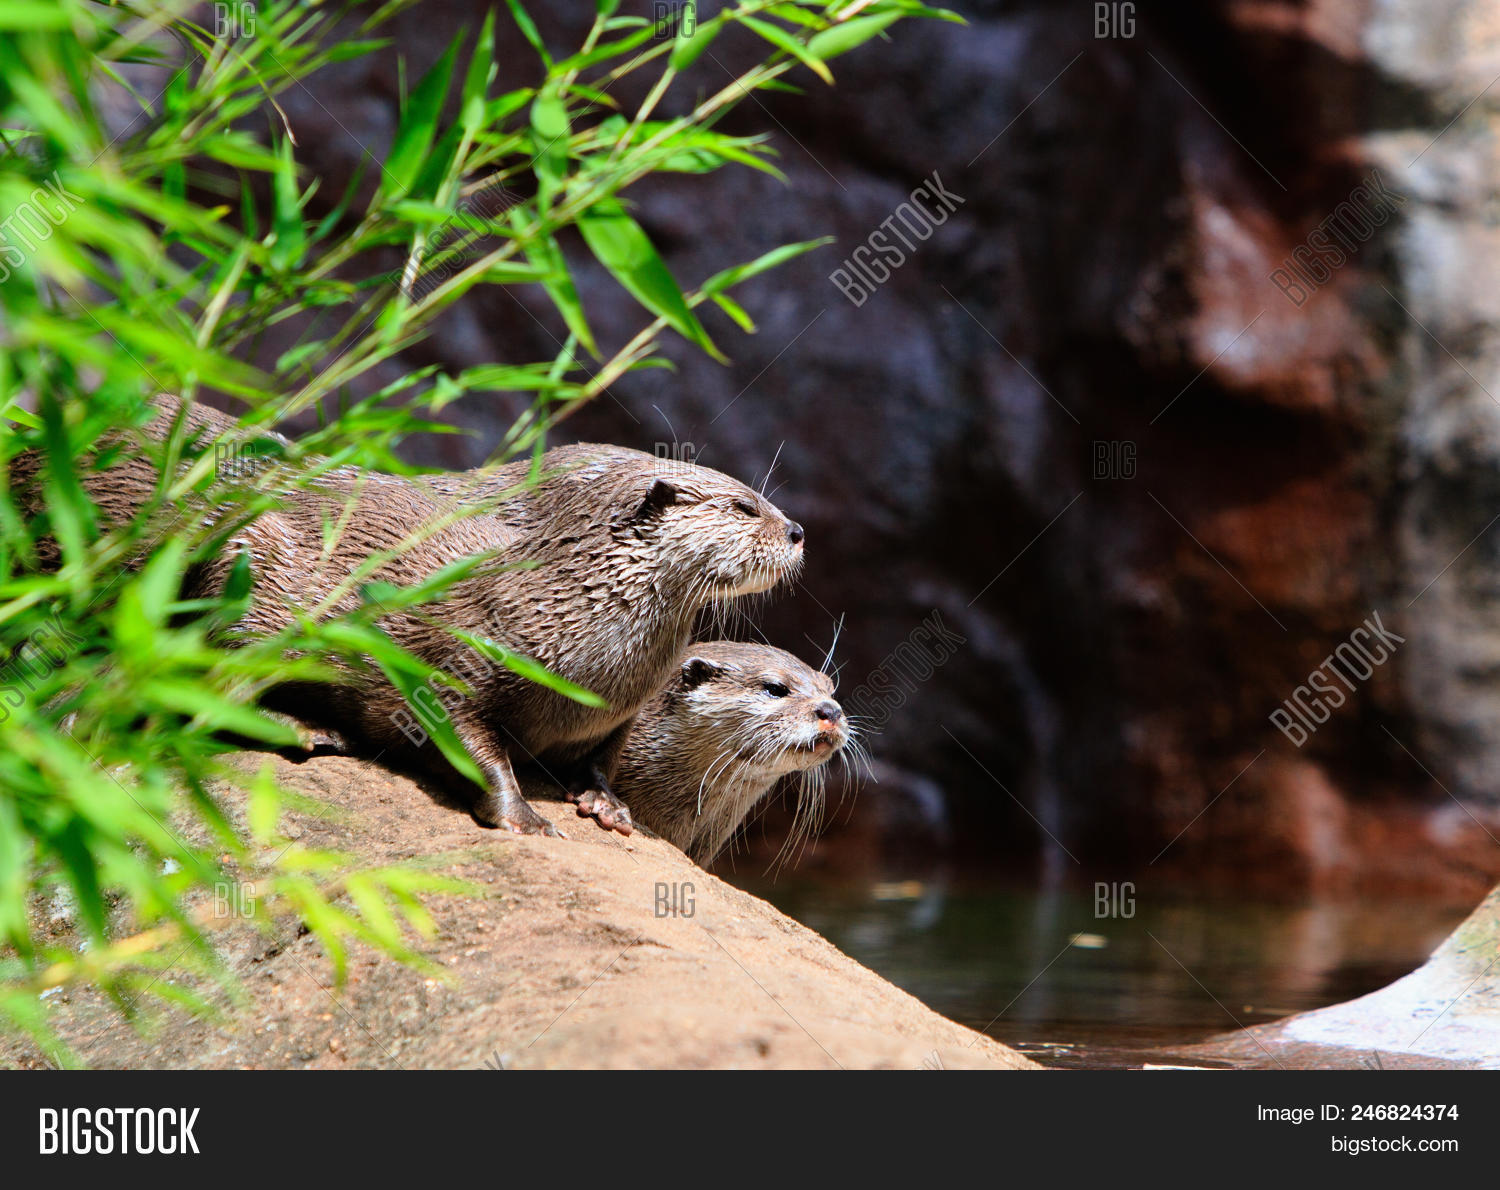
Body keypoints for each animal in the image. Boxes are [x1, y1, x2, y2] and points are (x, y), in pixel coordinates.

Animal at [17, 399, 806, 837]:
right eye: (746, 506)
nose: (799, 530)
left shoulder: (616, 715)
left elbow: (598, 763)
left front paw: (609, 808)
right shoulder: (455, 660)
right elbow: (467, 739)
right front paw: (521, 815)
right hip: (248, 574)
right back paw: (302, 727)